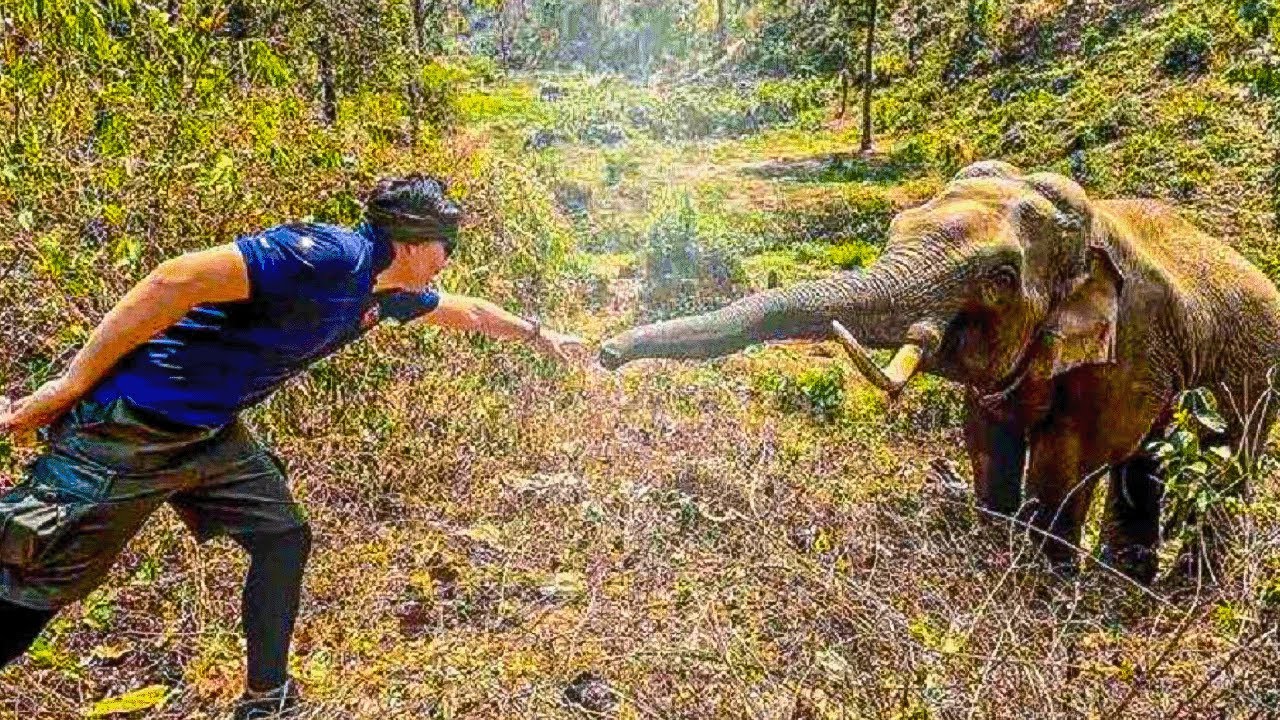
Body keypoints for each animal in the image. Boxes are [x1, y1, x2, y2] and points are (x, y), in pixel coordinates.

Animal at [599, 160, 1280, 583]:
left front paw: (1040, 585)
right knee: (1151, 459)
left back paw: (1182, 589)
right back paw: (1128, 580)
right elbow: (987, 438)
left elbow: (1070, 456)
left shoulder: (1129, 348)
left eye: (1000, 278)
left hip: (1256, 372)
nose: (604, 353)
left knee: (1226, 461)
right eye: (896, 228)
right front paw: (995, 551)